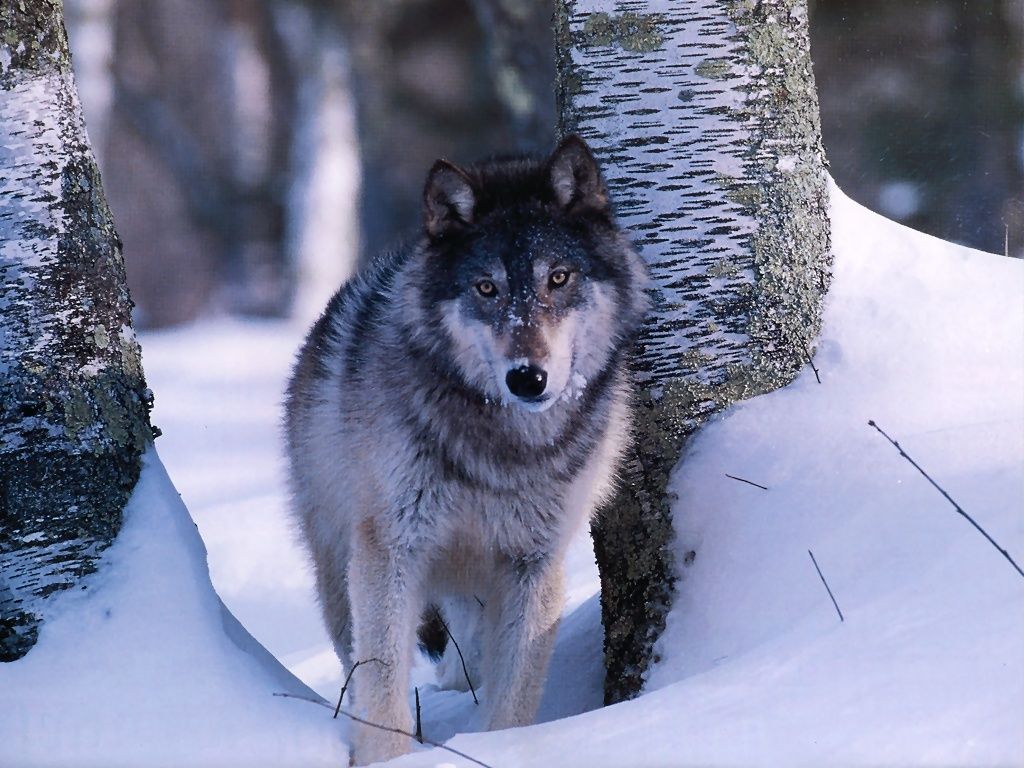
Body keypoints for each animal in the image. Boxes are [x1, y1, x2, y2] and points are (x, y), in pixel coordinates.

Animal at [284, 135, 648, 764]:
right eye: (487, 288)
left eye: (559, 278)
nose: (527, 378)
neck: (501, 451)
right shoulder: (390, 550)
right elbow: (382, 688)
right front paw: (387, 759)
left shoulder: (534, 564)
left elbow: (515, 696)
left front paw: (501, 749)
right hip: (339, 570)